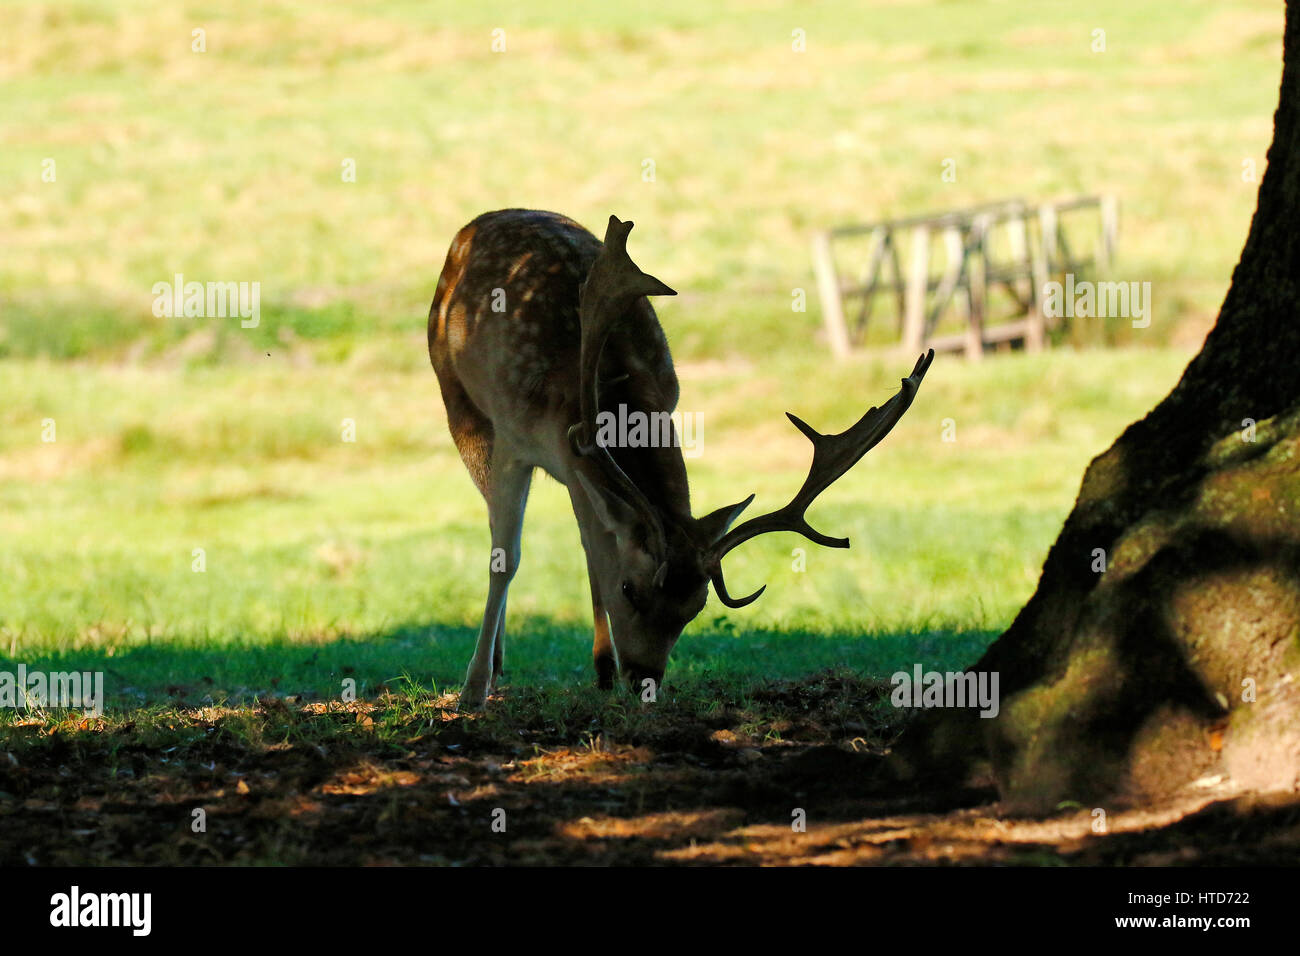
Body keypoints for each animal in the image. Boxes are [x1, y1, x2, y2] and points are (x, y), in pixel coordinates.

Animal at [428, 209, 933, 710]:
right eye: (629, 590)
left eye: (695, 607)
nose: (644, 682)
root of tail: (476, 224)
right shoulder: (514, 437)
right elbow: (505, 558)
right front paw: (473, 690)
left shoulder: (585, 458)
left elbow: (596, 544)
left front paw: (602, 671)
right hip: (460, 406)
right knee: (499, 528)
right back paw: (496, 668)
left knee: (588, 539)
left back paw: (598, 667)